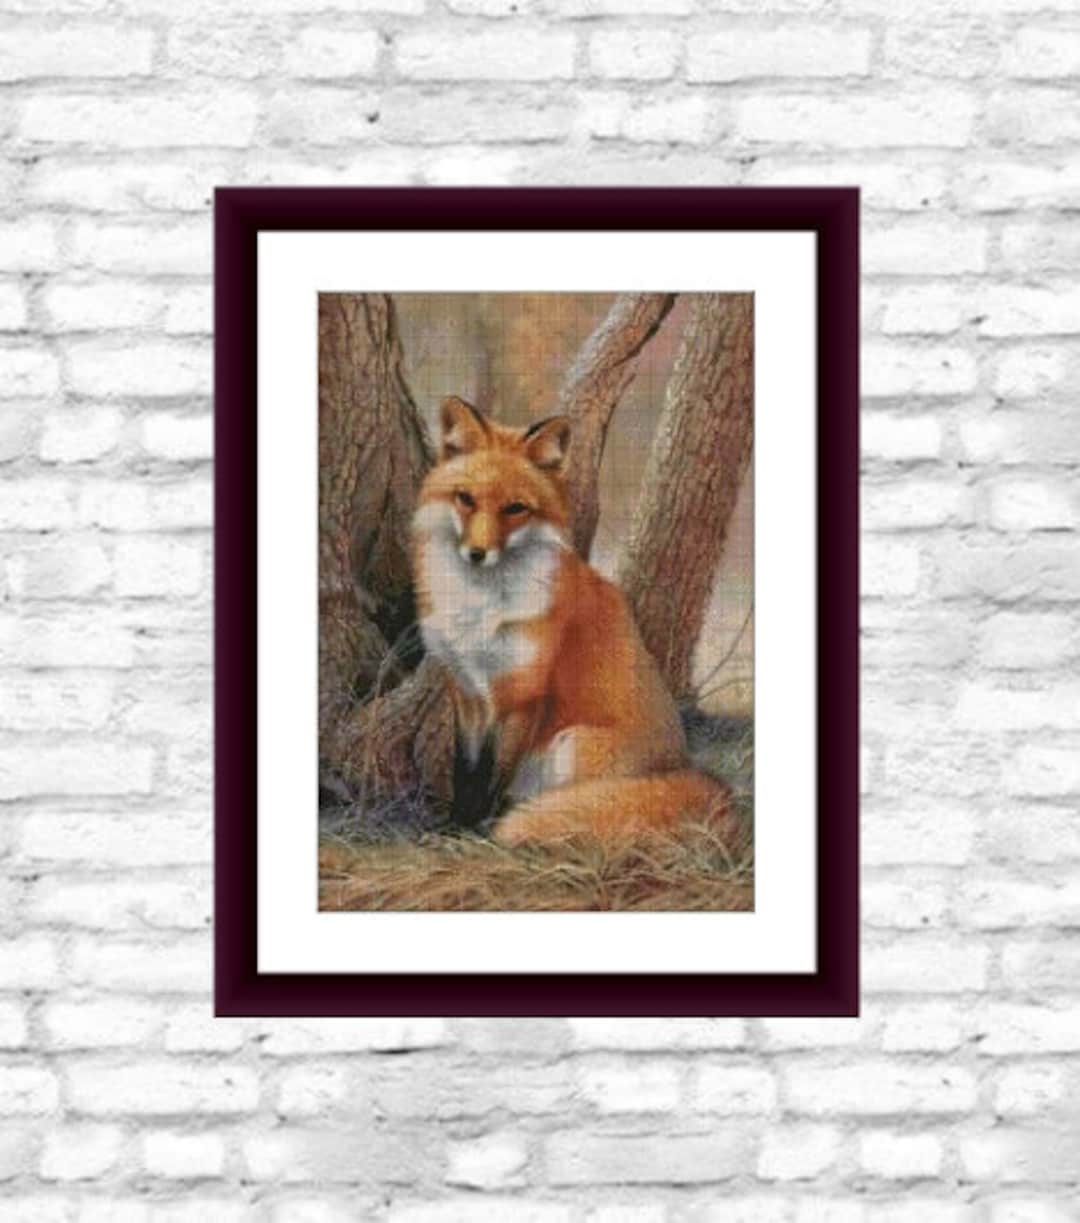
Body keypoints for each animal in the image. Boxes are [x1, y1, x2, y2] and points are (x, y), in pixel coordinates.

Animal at [411, 394, 735, 848]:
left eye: (515, 509)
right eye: (465, 499)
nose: (476, 554)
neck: (479, 608)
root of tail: (685, 768)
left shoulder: (522, 695)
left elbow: (493, 776)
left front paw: (474, 831)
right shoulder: (467, 691)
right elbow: (467, 772)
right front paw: (454, 824)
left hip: (573, 743)